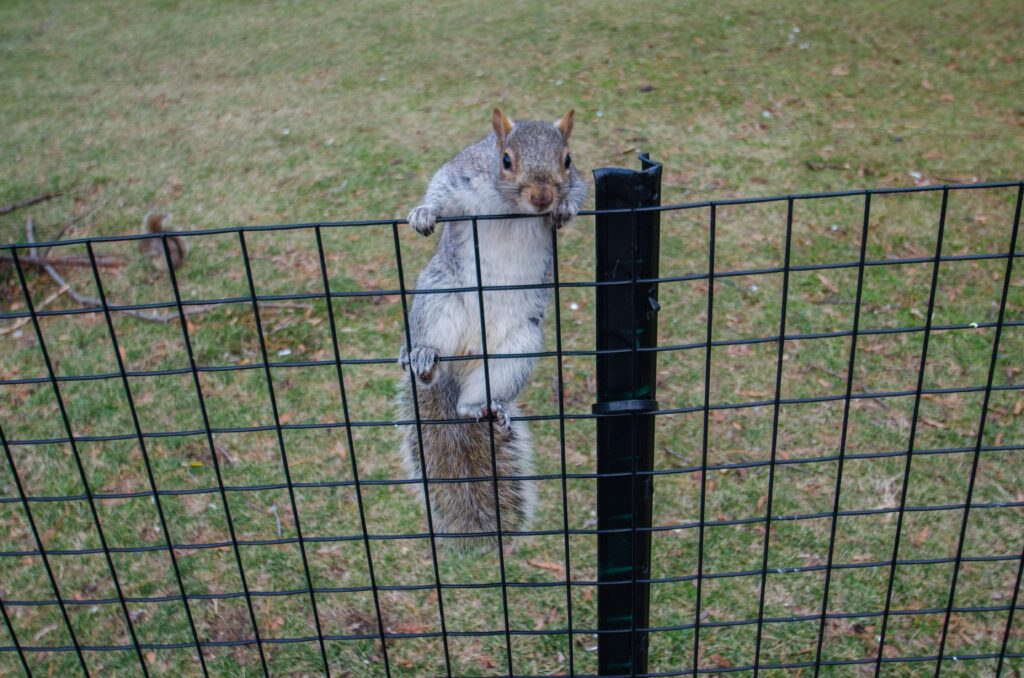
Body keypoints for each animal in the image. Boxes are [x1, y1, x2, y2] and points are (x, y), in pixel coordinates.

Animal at [397, 108, 587, 550]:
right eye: (505, 160)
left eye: (567, 160)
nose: (543, 198)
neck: (510, 205)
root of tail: (465, 357)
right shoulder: (464, 175)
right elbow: (440, 186)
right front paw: (423, 213)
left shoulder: (578, 181)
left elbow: (581, 191)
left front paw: (566, 209)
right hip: (439, 299)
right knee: (429, 359)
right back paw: (424, 358)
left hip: (517, 346)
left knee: (472, 401)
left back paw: (481, 408)